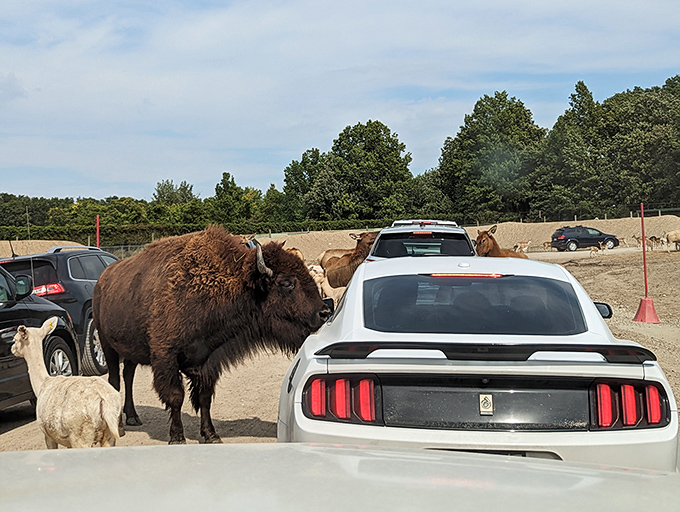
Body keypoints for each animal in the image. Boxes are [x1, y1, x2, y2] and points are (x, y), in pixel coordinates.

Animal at [93, 225, 330, 444]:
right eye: (286, 283)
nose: (324, 312)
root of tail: (102, 281)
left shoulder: (207, 360)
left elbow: (204, 398)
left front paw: (211, 435)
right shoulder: (165, 358)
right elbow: (175, 397)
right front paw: (177, 437)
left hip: (130, 351)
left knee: (128, 376)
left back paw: (133, 417)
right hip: (107, 346)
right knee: (115, 380)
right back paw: (120, 427)